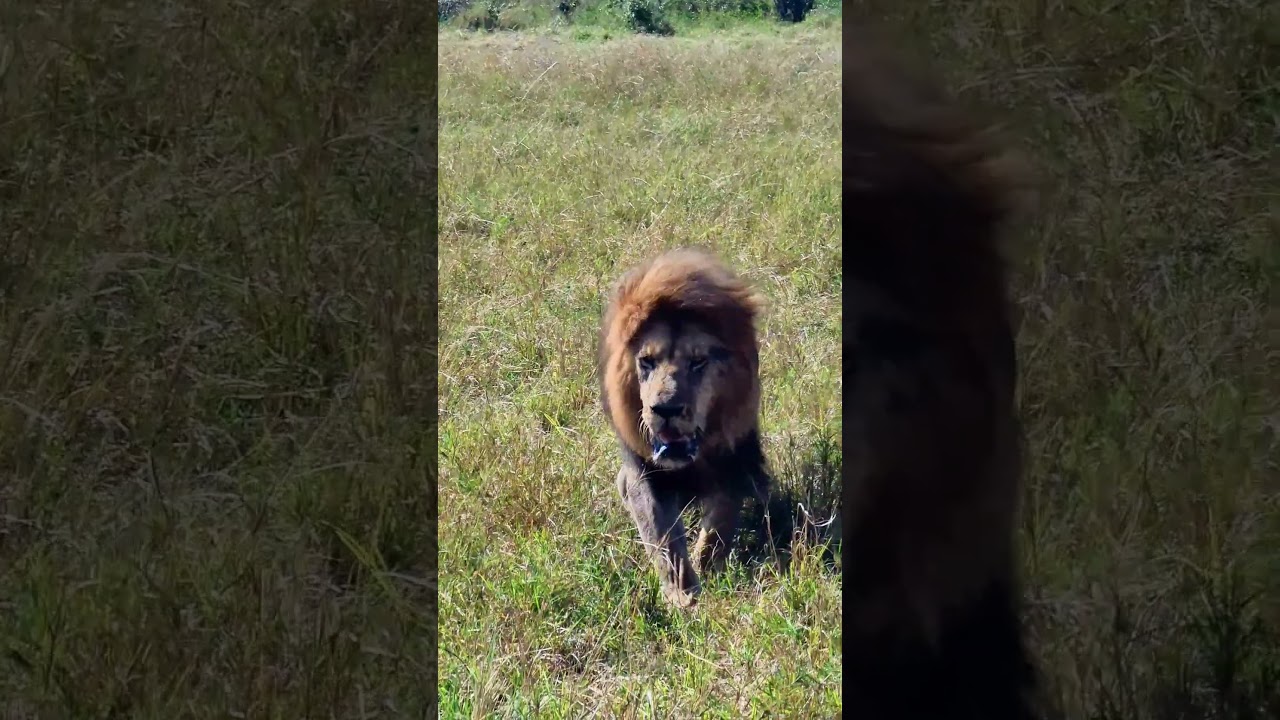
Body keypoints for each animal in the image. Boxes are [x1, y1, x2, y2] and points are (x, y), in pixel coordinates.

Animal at [599, 248, 770, 609]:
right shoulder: (642, 474)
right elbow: (663, 537)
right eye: (646, 362)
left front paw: (710, 569)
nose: (665, 410)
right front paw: (685, 596)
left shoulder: (734, 462)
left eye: (698, 362)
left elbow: (720, 521)